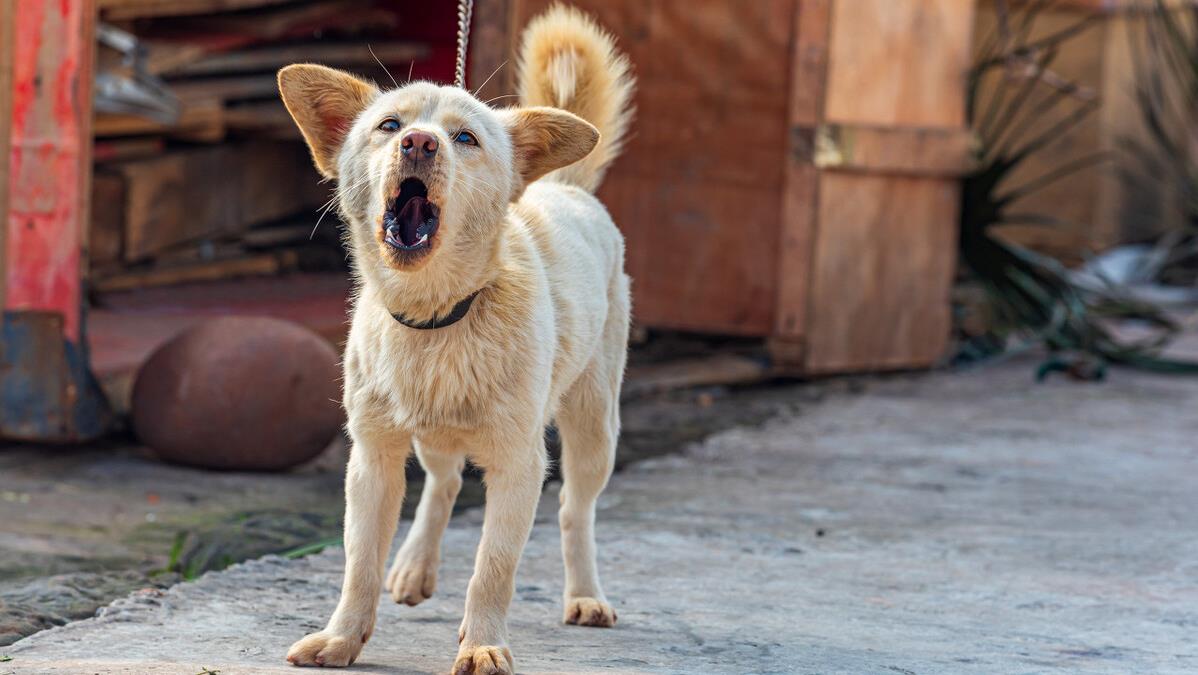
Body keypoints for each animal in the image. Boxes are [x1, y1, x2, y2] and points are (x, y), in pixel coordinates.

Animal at [277, 6, 637, 675]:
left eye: (466, 138)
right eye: (389, 125)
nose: (419, 143)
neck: (436, 318)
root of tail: (565, 186)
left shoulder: (520, 464)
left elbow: (492, 568)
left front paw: (483, 644)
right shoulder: (373, 459)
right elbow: (358, 564)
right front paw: (342, 637)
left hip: (594, 426)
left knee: (576, 510)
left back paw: (585, 595)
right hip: (432, 436)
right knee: (443, 484)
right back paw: (414, 567)